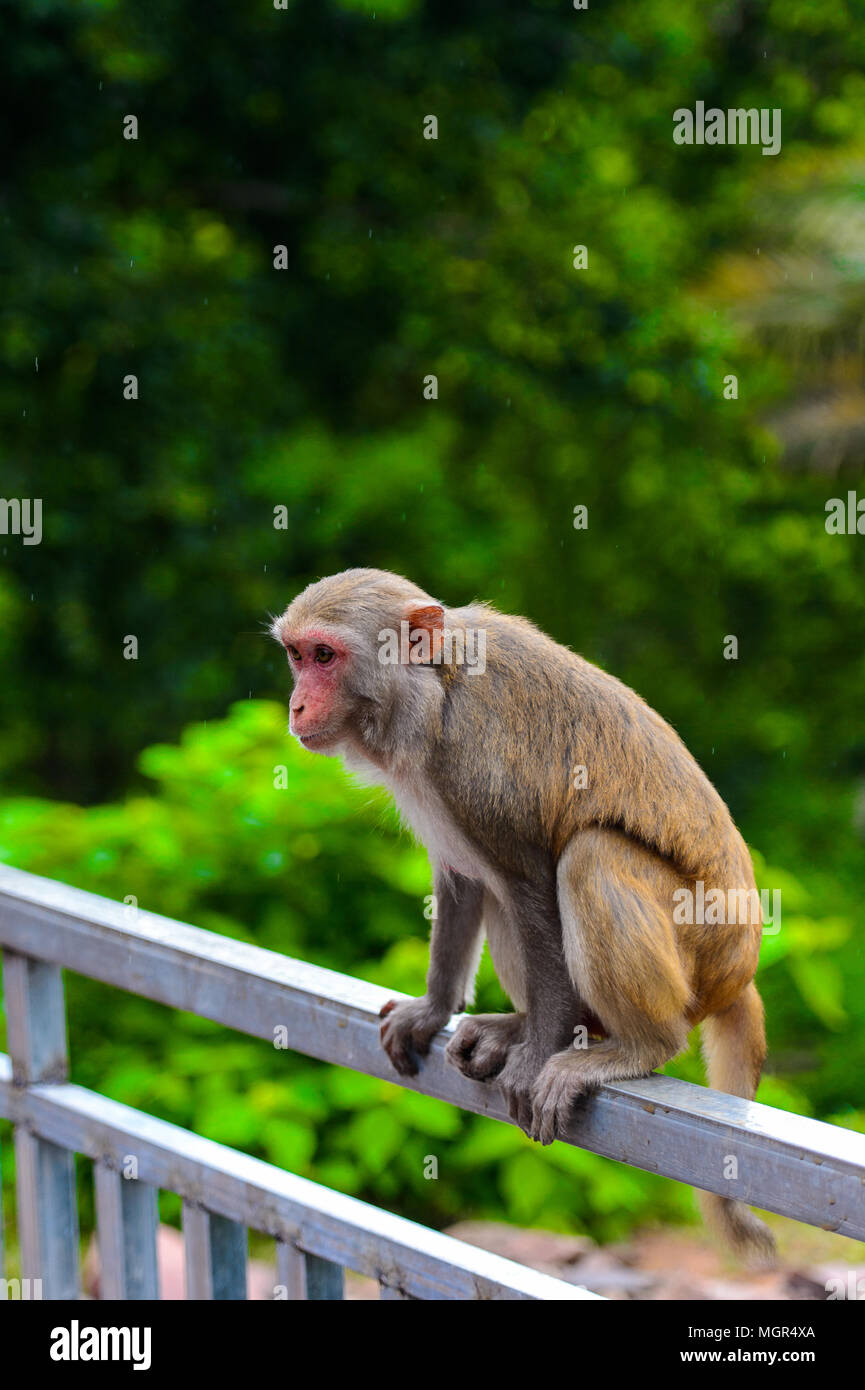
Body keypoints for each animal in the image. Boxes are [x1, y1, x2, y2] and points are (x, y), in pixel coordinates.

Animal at [271, 567, 774, 1263]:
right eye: (296, 656)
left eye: (325, 656)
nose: (295, 706)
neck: (436, 688)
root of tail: (737, 974)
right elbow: (460, 882)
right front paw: (434, 1009)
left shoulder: (472, 761)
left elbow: (531, 882)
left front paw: (537, 1055)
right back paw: (533, 1025)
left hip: (696, 950)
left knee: (589, 854)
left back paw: (625, 1044)